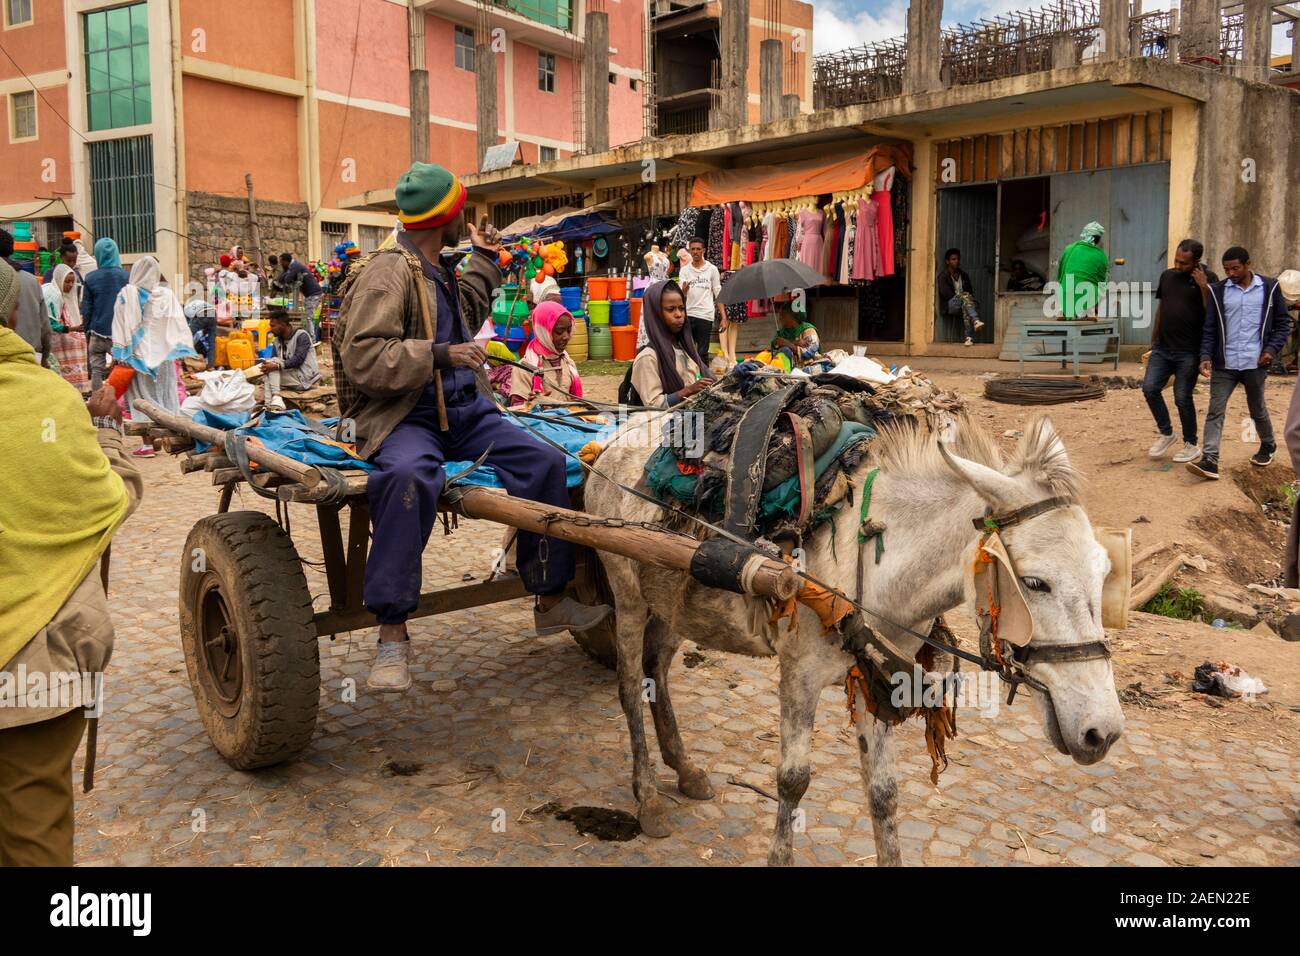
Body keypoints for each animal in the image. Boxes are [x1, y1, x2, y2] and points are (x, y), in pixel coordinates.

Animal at [582, 412, 1124, 865]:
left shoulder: (876, 678)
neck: (871, 566)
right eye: (1034, 583)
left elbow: (883, 792)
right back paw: (648, 798)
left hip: (669, 604)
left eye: (1104, 573)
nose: (1104, 732)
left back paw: (684, 769)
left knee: (656, 671)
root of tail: (616, 439)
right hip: (628, 596)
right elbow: (792, 781)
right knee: (630, 687)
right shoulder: (798, 677)